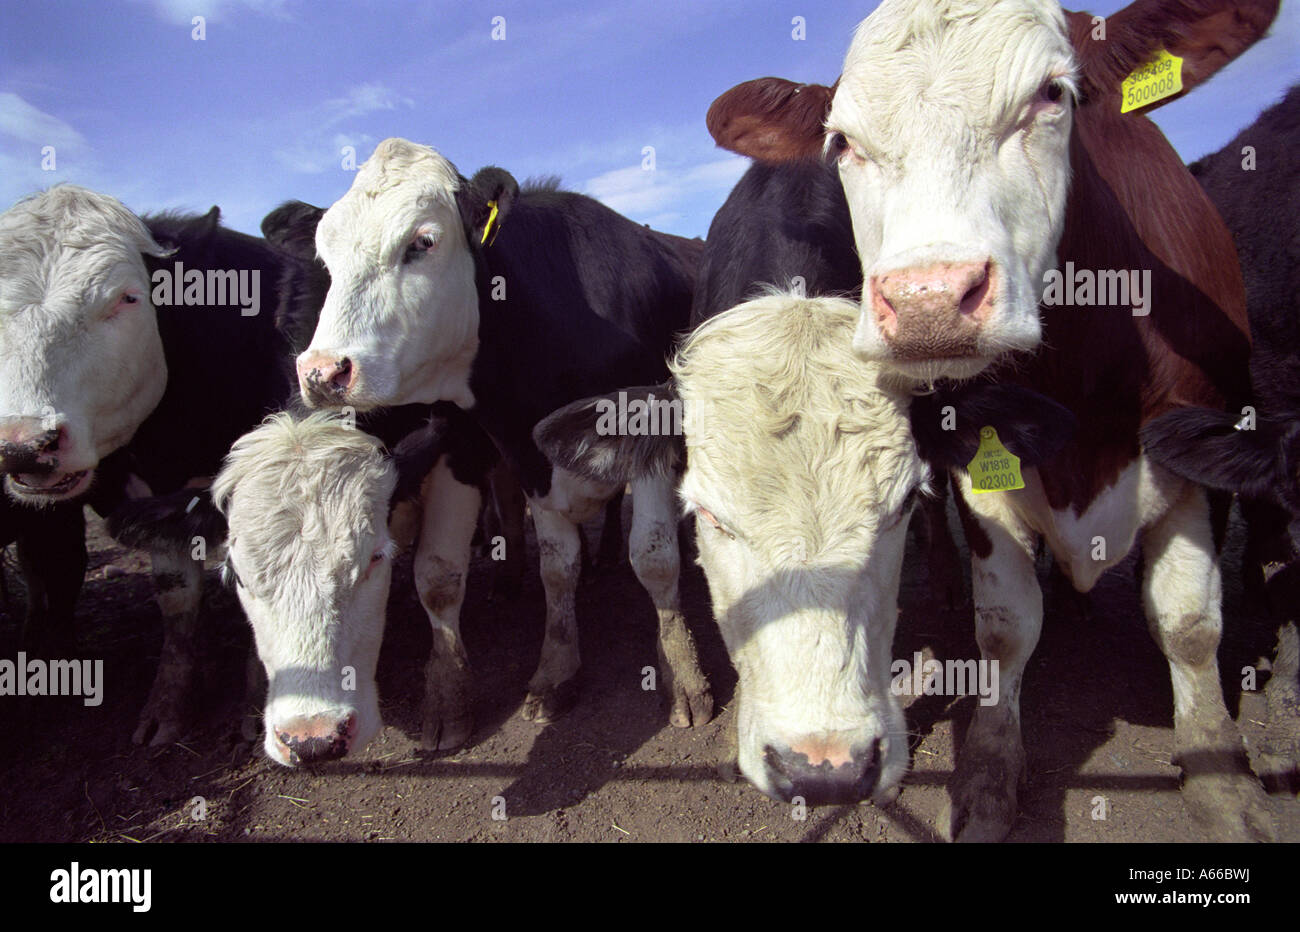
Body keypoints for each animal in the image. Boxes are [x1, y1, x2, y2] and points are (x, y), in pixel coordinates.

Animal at [294, 140, 713, 748]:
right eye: (326, 259)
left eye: (422, 241)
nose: (322, 372)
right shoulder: (521, 452)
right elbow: (554, 568)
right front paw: (554, 673)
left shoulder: (647, 428)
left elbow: (654, 557)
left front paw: (683, 676)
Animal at [685, 0, 1279, 840]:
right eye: (843, 140)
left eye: (1054, 96)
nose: (929, 299)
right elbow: (1004, 626)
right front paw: (991, 777)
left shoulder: (1192, 460)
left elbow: (1191, 625)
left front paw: (1220, 777)